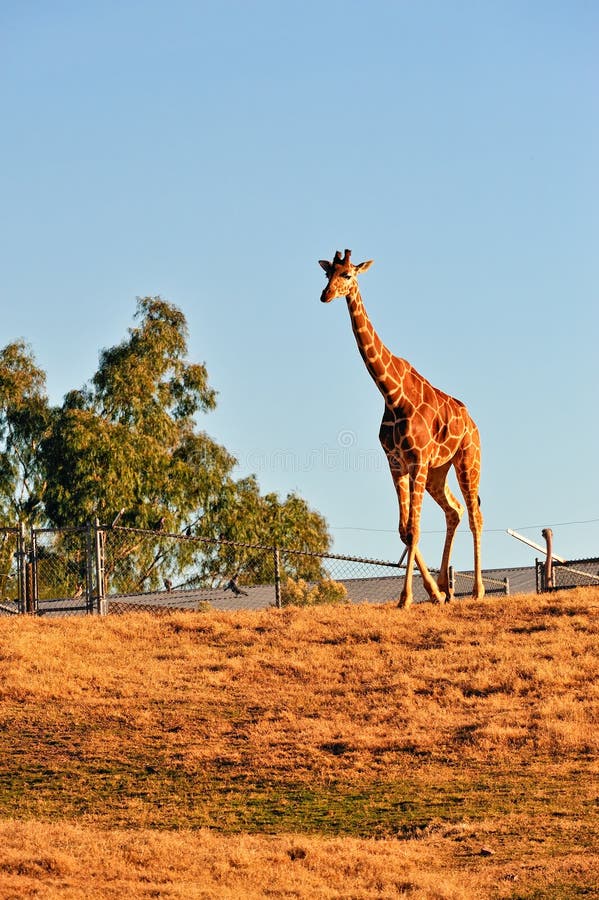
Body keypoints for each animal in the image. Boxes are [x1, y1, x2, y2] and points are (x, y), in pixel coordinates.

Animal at [319, 249, 484, 608]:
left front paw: (406, 598)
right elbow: (404, 530)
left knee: (475, 515)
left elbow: (414, 529)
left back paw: (477, 590)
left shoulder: (417, 459)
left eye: (348, 275)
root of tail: (473, 423)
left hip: (467, 460)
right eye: (327, 275)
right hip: (438, 471)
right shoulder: (396, 462)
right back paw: (447, 588)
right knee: (454, 511)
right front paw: (431, 592)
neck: (391, 394)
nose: (325, 296)